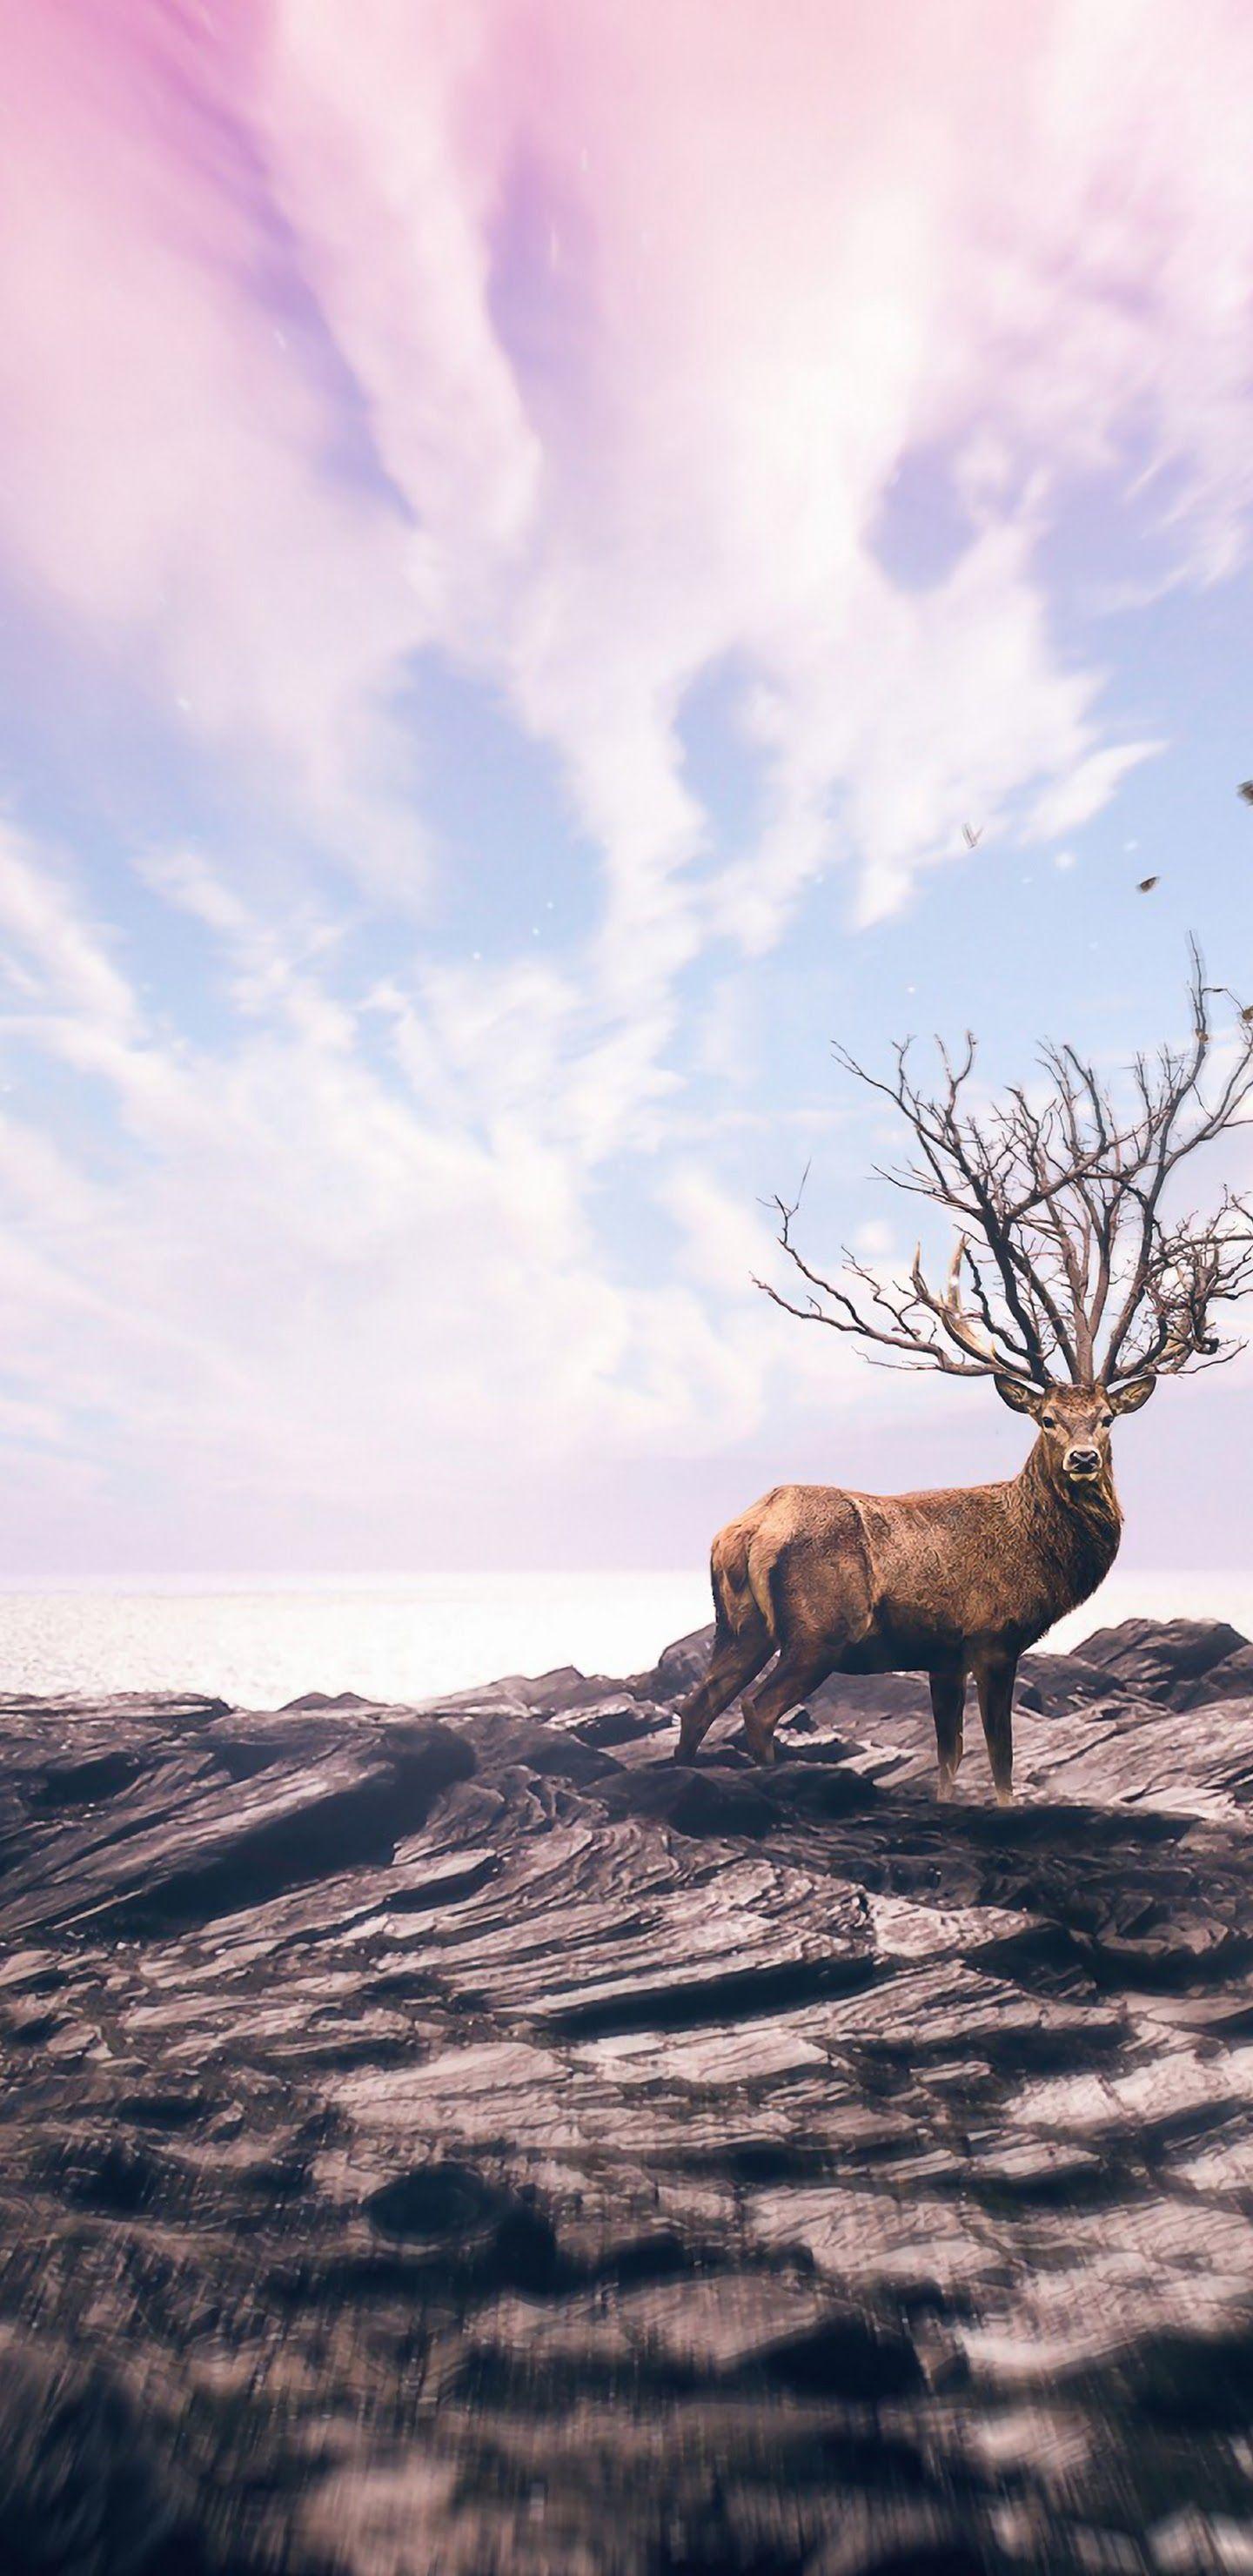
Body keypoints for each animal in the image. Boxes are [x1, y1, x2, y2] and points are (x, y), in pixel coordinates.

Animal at [675, 953, 1253, 1801]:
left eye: (1107, 1416)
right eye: (1046, 1419)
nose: (1084, 1458)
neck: (1034, 1557)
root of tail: (747, 1527)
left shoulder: (942, 1656)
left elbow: (949, 1763)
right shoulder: (990, 1636)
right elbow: (1003, 1767)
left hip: (736, 1623)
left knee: (695, 1705)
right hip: (818, 1629)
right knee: (755, 1711)